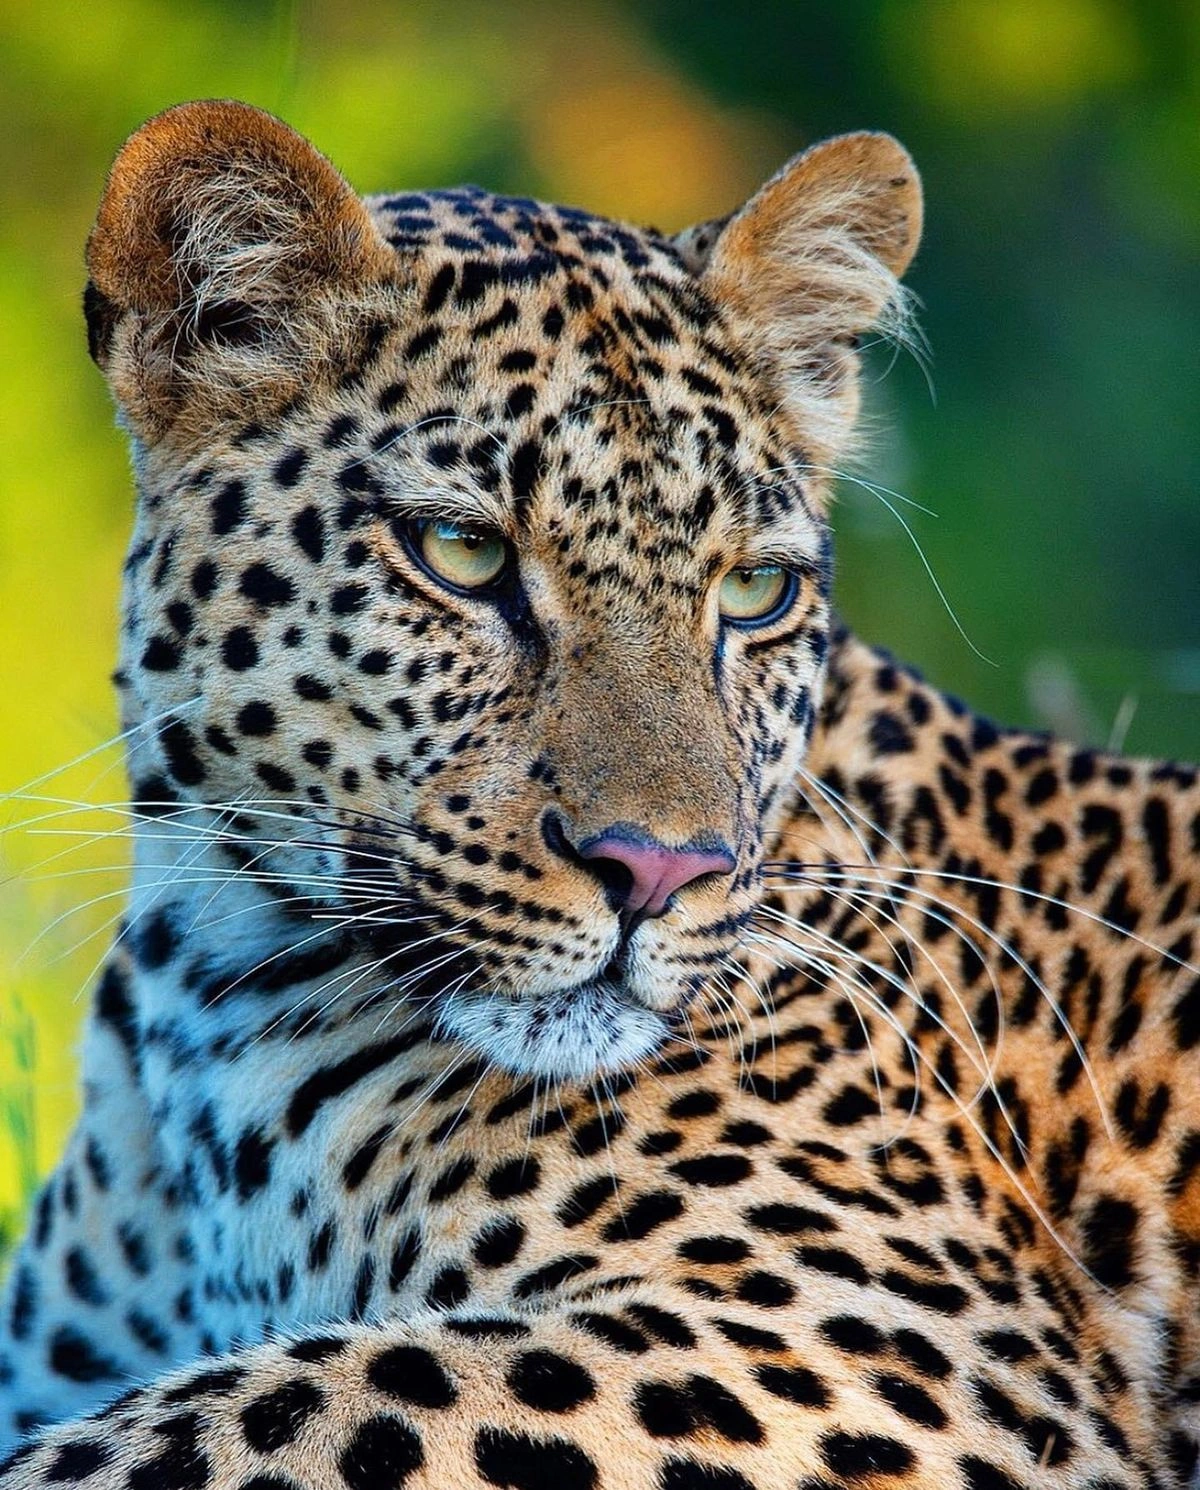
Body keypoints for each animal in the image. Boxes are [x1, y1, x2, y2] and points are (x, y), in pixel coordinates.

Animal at [0, 97, 1198, 1490]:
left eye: (754, 592)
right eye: (462, 552)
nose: (661, 871)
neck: (215, 1001)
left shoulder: (891, 1337)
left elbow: (264, 1403)